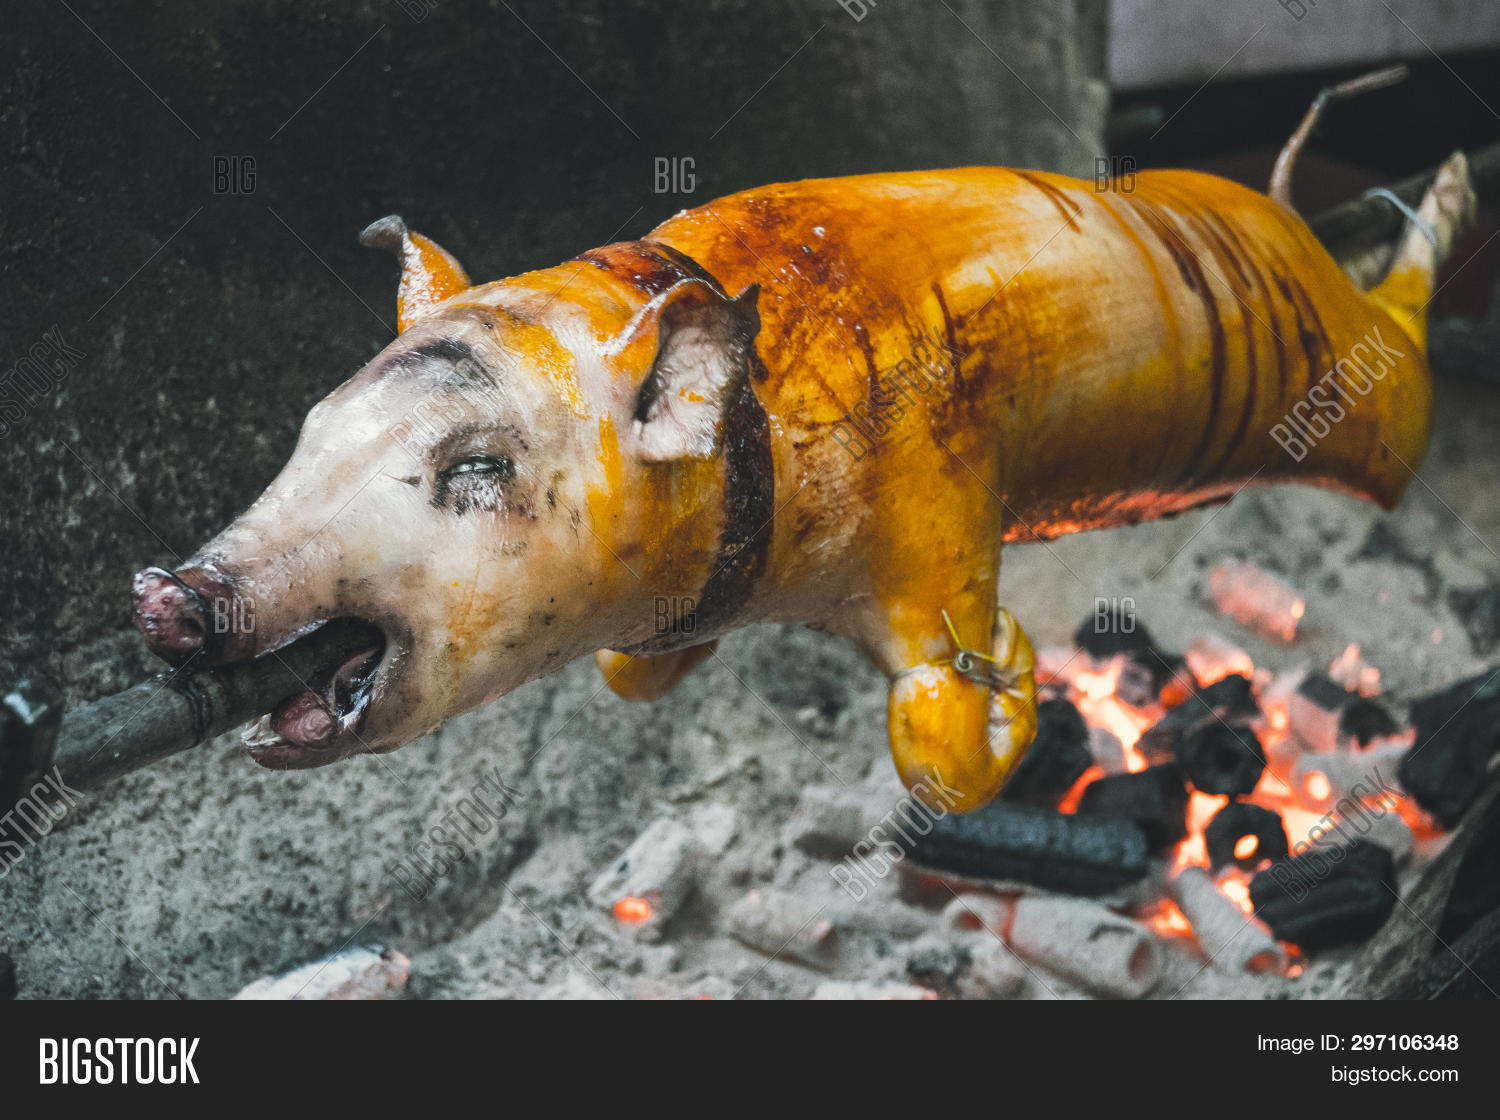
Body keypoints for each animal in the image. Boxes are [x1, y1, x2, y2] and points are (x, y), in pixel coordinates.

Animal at [132, 155, 1473, 813]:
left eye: (475, 466)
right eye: (310, 429)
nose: (168, 597)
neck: (755, 434)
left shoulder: (946, 514)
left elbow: (939, 731)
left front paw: (1016, 672)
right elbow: (635, 675)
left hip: (1381, 390)